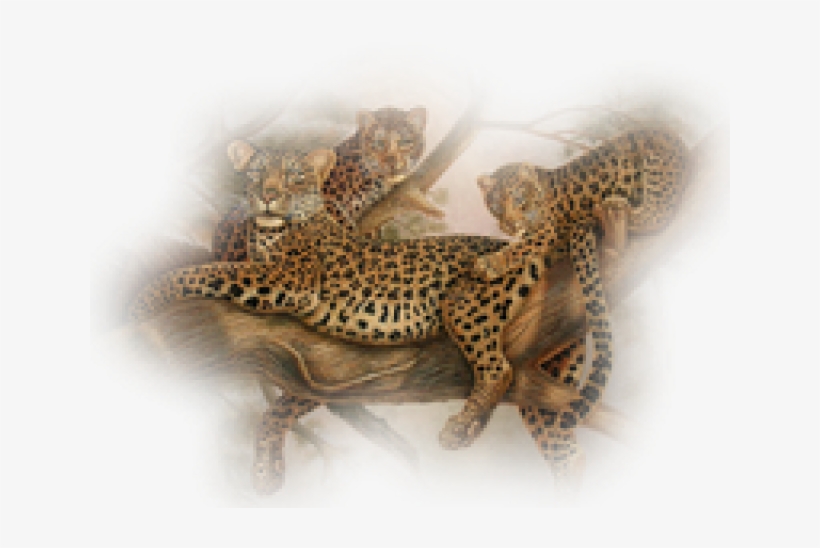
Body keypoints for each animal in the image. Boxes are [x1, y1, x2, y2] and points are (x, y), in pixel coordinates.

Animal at [474, 126, 688, 479]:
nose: (508, 224)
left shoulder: (546, 230)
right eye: (493, 205)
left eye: (517, 198)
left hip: (654, 167)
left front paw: (489, 263)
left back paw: (619, 205)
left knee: (657, 212)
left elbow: (522, 247)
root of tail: (665, 131)